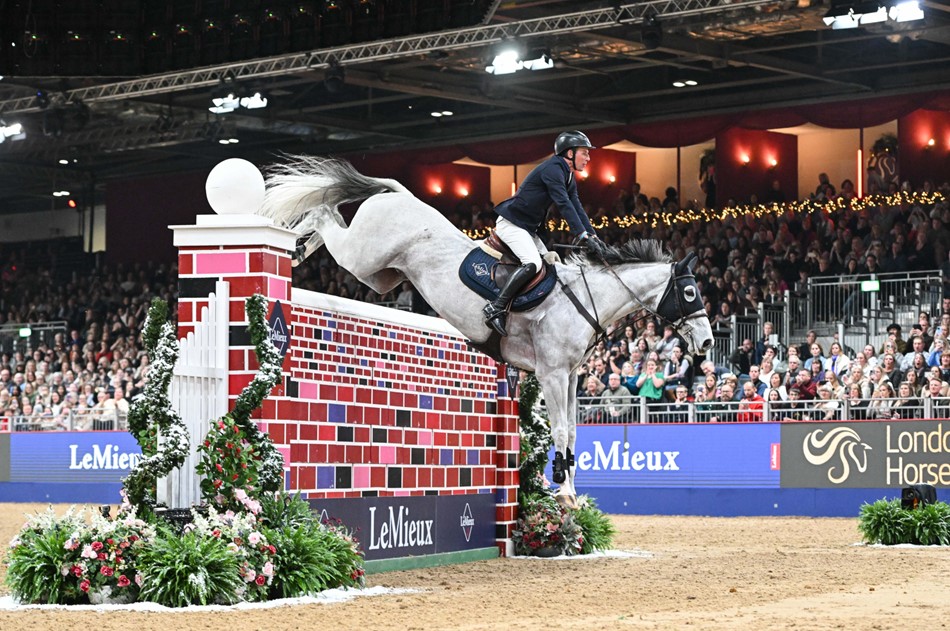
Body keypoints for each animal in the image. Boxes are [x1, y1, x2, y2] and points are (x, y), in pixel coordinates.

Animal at [258, 155, 714, 506]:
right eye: (690, 292)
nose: (708, 342)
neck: (586, 299)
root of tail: (401, 195)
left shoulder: (569, 377)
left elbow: (573, 432)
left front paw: (569, 489)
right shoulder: (551, 374)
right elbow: (561, 429)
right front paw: (566, 492)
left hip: (380, 277)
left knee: (330, 223)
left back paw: (298, 248)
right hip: (364, 258)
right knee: (324, 215)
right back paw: (290, 241)